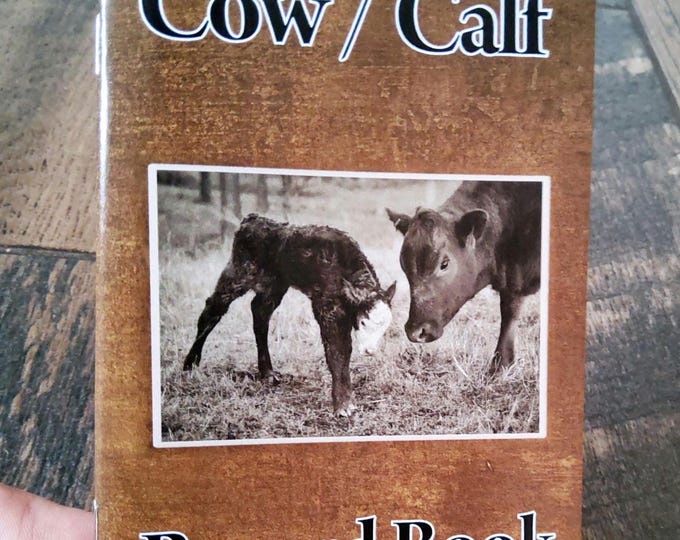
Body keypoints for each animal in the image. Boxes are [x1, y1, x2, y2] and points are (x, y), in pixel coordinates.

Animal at [183, 214, 397, 417]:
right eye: (364, 322)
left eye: (384, 328)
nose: (370, 350)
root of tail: (251, 219)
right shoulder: (327, 309)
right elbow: (338, 351)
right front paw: (343, 406)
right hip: (239, 272)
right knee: (213, 309)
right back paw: (190, 364)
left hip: (275, 285)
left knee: (260, 314)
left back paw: (268, 372)